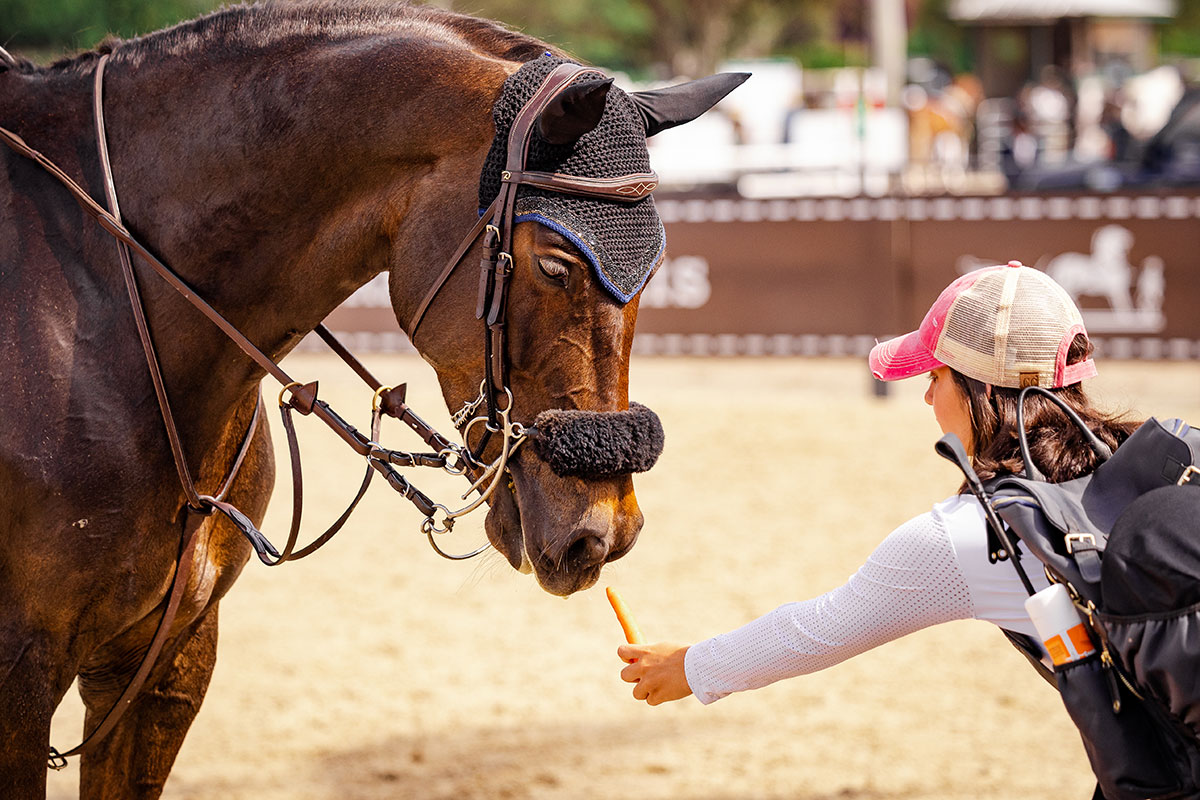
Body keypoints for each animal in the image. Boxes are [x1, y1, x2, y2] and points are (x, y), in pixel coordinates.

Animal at [0, 3, 744, 796]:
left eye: (656, 268)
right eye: (554, 264)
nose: (603, 532)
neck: (104, 301)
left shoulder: (168, 661)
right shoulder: (20, 675)